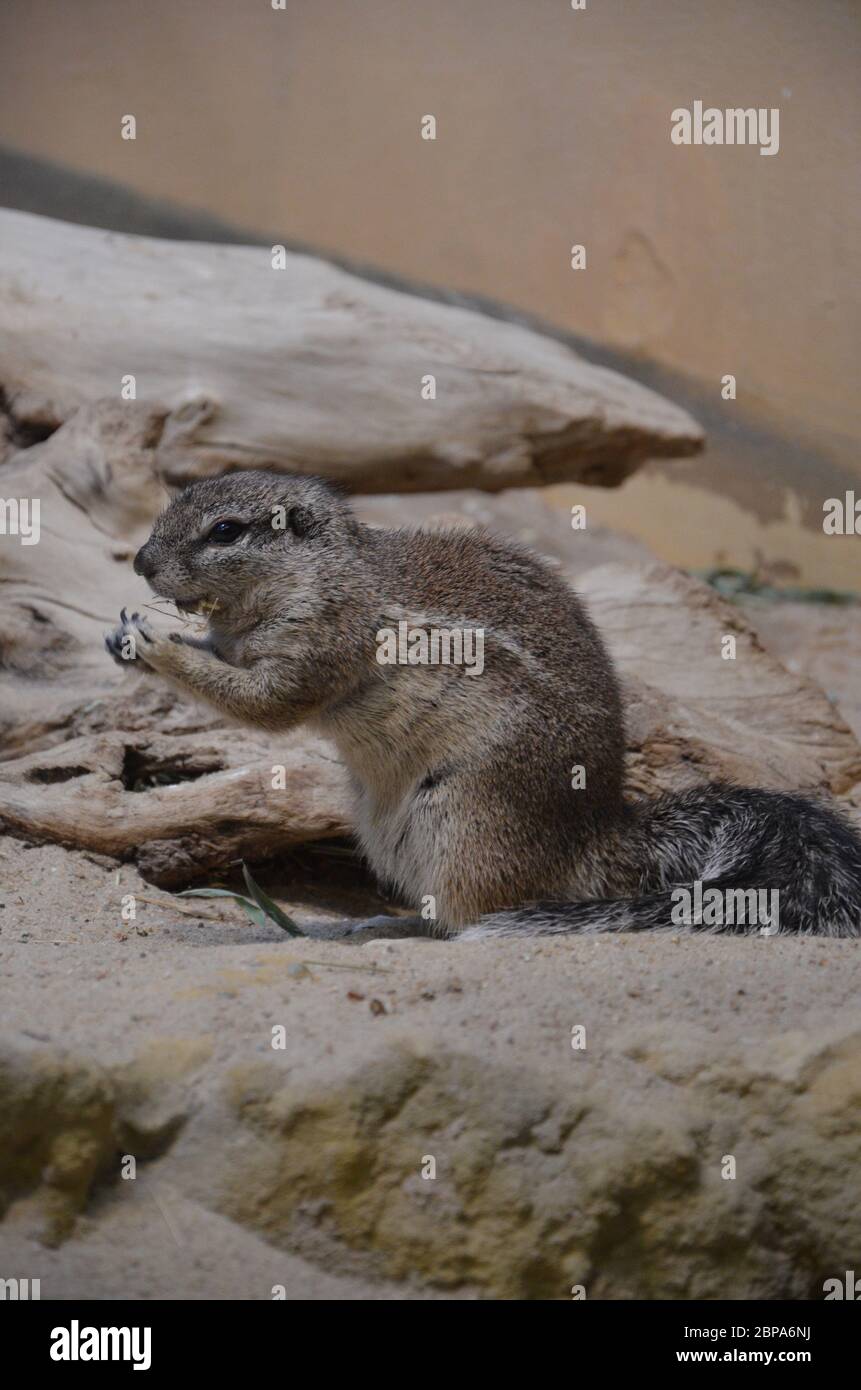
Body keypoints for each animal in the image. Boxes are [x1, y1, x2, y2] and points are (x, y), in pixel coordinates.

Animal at [106, 470, 861, 938]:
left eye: (225, 531)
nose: (140, 562)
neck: (323, 572)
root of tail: (598, 839)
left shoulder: (322, 642)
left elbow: (265, 705)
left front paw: (155, 642)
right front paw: (127, 635)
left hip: (463, 820)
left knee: (472, 913)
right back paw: (374, 921)